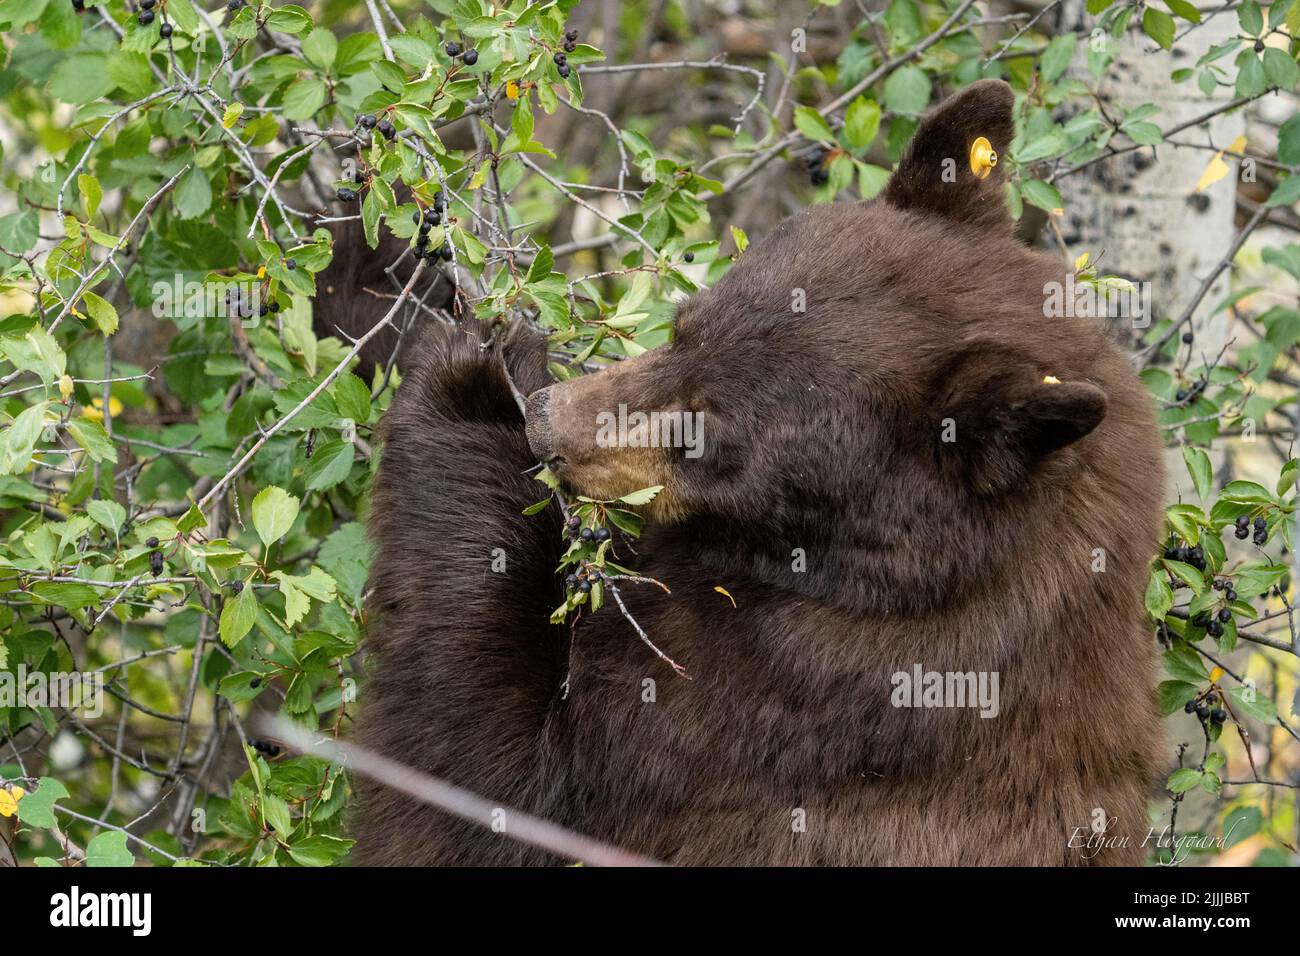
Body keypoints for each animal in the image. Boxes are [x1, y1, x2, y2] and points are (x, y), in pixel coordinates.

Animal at [351, 79, 1166, 866]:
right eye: (683, 325)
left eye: (706, 427)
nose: (550, 420)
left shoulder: (767, 713)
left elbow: (486, 789)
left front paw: (475, 385)